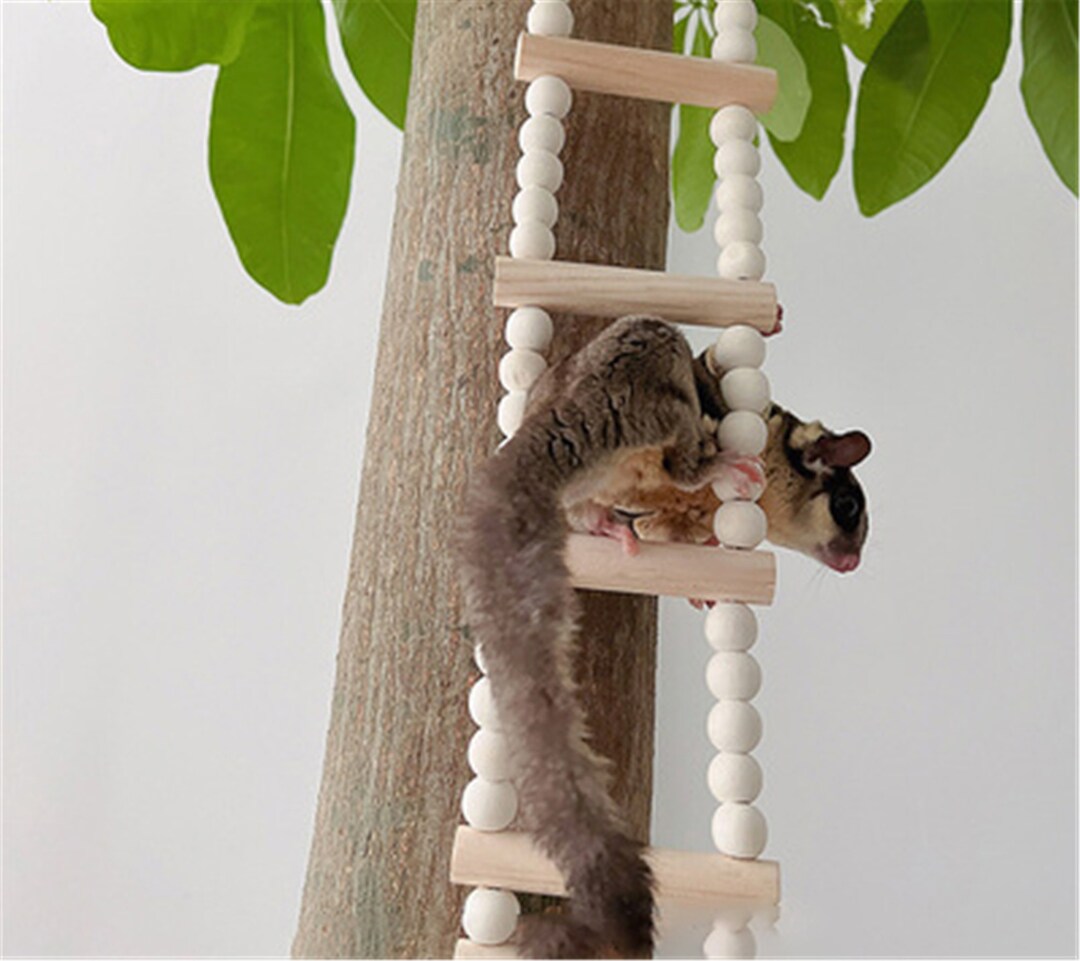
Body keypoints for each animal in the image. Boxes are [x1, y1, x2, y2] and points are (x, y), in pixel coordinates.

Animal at [457, 316, 871, 958]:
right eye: (848, 507)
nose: (854, 564)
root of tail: (566, 407)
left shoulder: (676, 520)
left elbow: (672, 530)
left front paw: (694, 567)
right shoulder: (737, 399)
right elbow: (719, 365)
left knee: (591, 507)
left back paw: (609, 525)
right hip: (649, 373)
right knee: (679, 436)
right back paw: (712, 467)